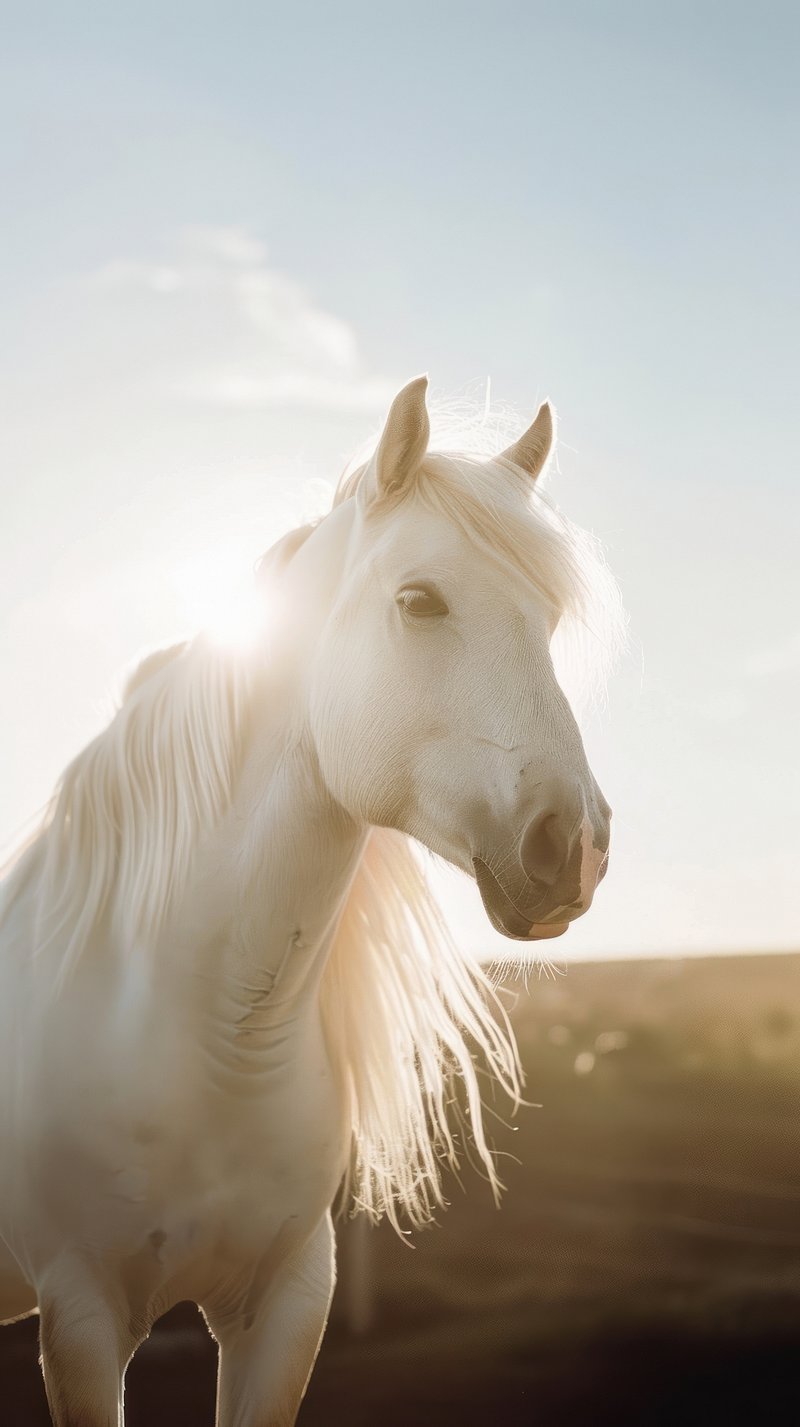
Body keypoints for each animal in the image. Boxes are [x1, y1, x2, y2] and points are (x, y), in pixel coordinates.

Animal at [0, 376, 620, 1426]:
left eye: (545, 620)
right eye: (418, 601)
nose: (573, 846)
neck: (203, 1034)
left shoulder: (287, 1303)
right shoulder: (80, 1315)